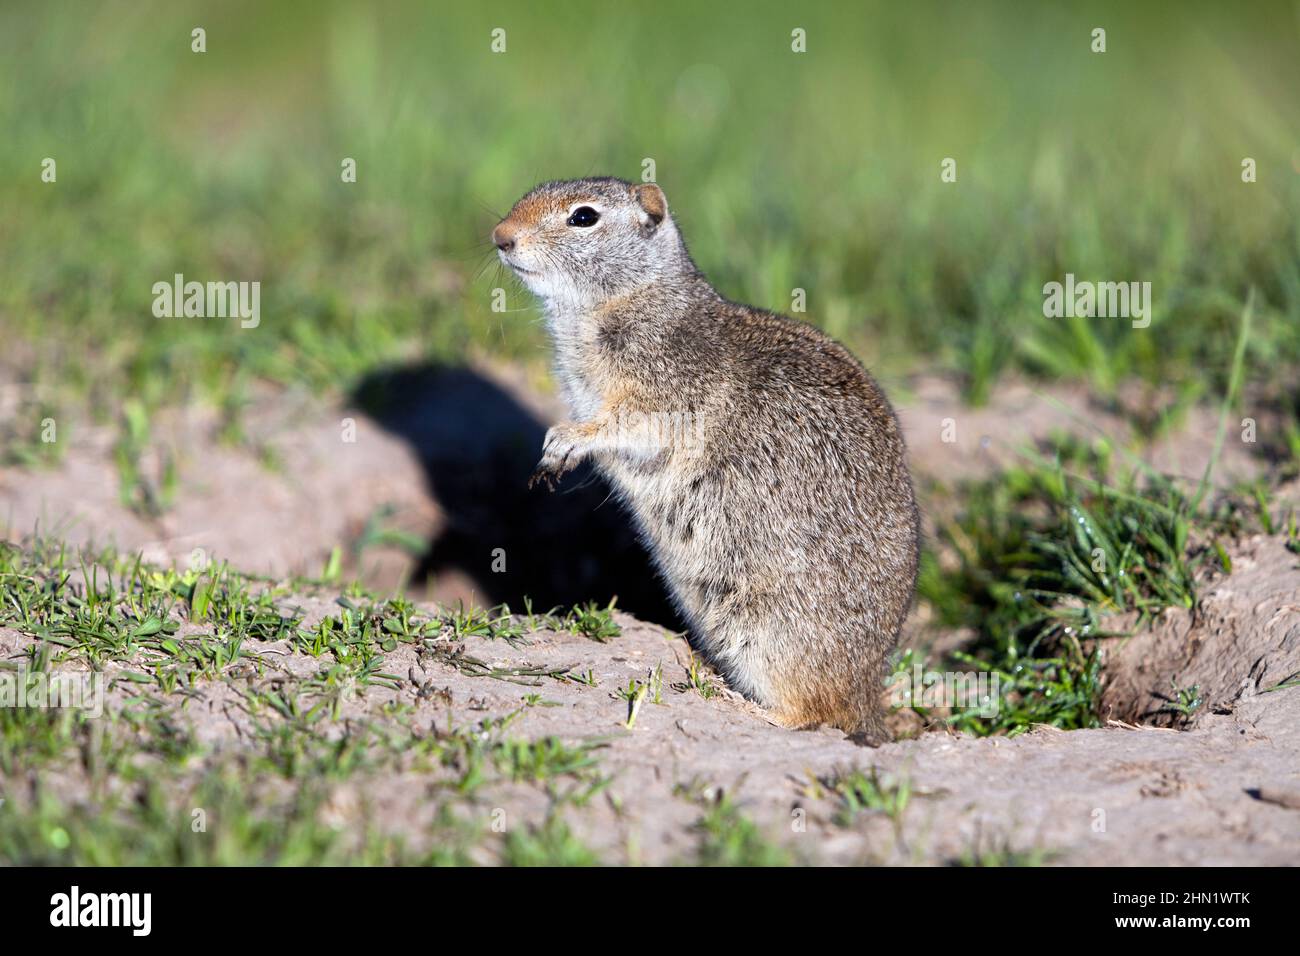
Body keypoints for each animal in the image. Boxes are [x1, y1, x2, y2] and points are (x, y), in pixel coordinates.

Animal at [493, 177, 919, 743]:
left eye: (583, 217)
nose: (500, 236)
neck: (629, 299)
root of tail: (870, 694)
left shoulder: (669, 388)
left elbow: (630, 423)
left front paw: (565, 440)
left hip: (771, 632)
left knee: (813, 711)